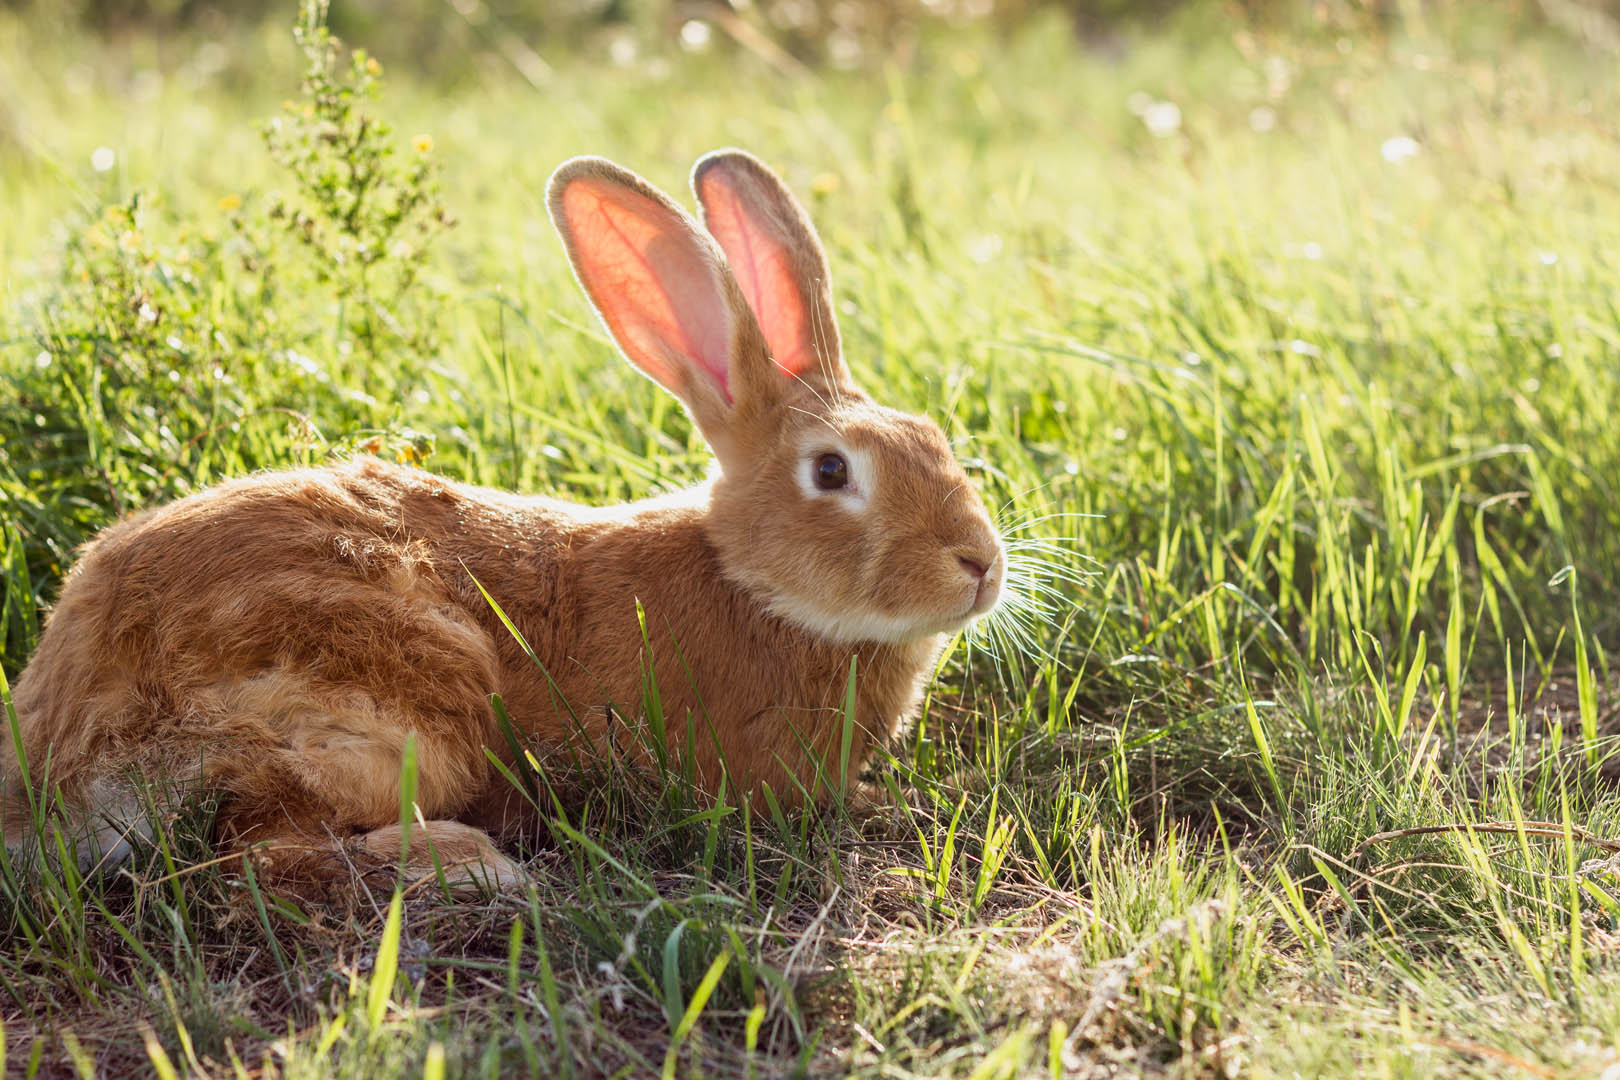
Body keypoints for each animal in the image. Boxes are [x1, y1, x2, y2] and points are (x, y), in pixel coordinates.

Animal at [1, 149, 1006, 895]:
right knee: (261, 849)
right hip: (395, 711)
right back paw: (473, 867)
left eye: (934, 438)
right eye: (833, 472)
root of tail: (63, 746)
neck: (756, 587)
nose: (981, 566)